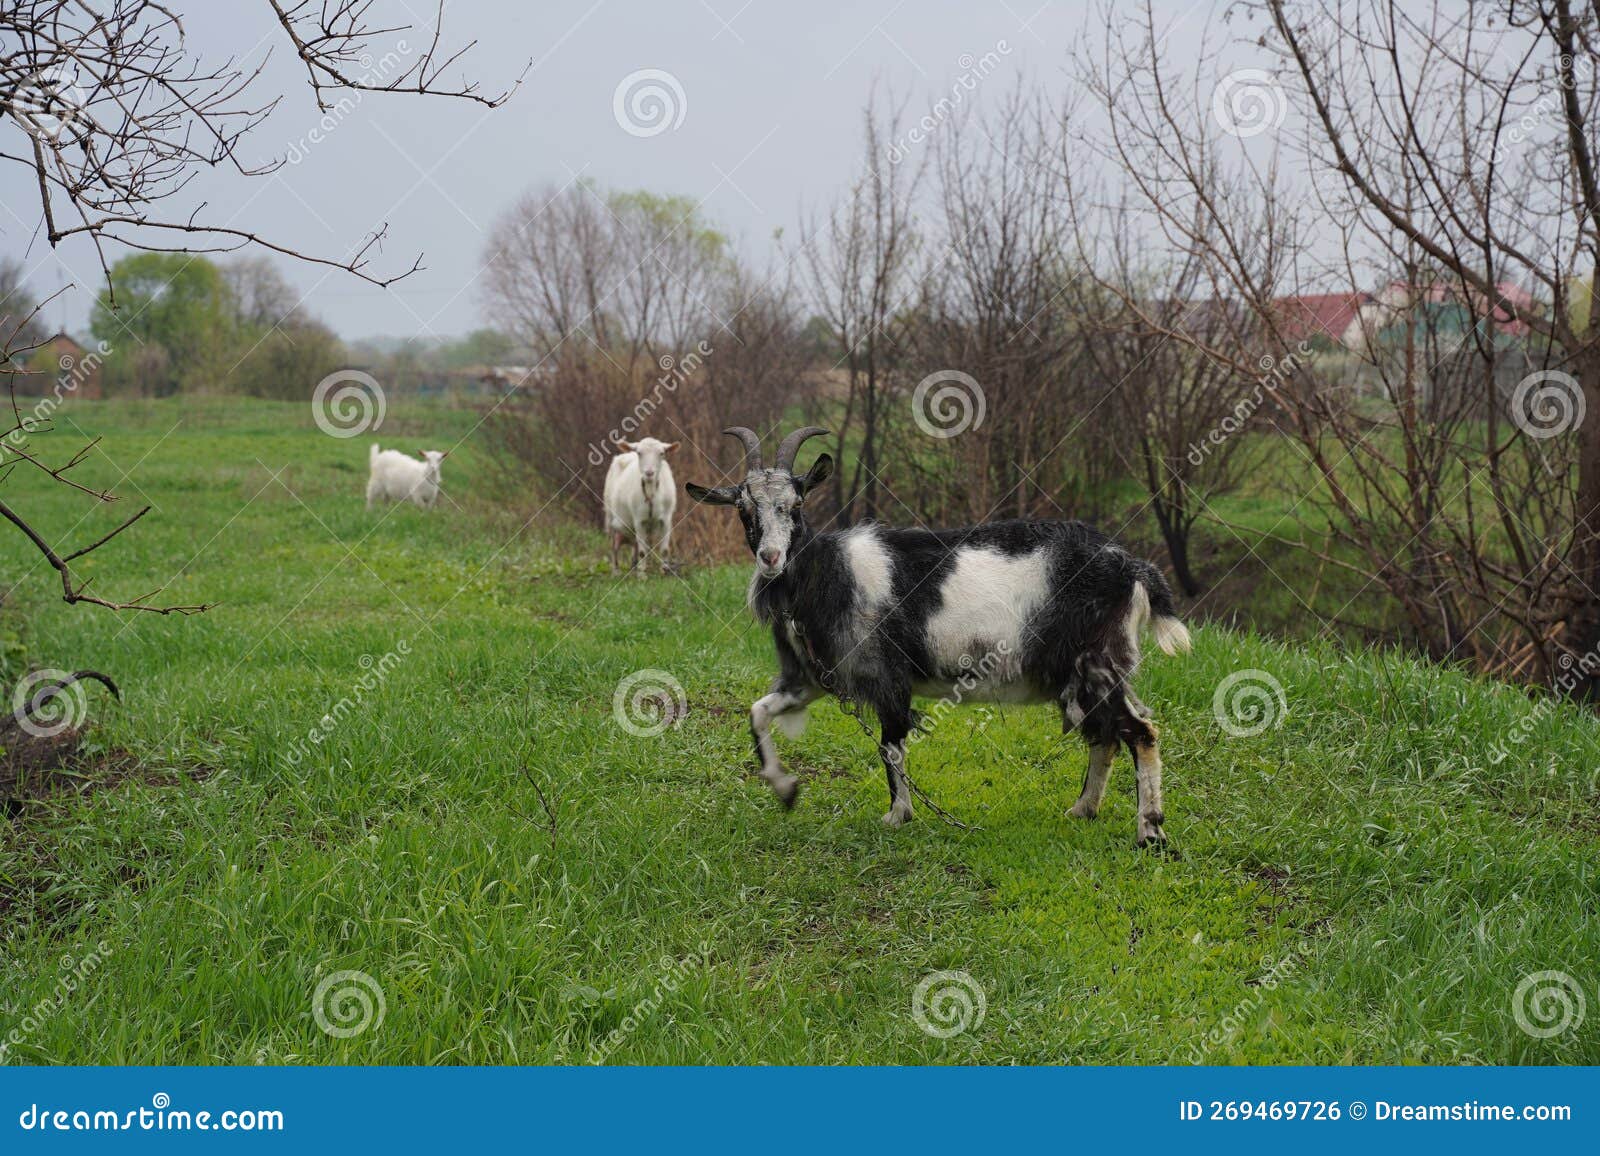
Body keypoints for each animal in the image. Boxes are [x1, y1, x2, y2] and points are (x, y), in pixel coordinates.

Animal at [604, 438, 680, 576]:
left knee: (635, 544)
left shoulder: (666, 519)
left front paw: (664, 572)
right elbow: (642, 552)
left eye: (661, 453)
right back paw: (616, 571)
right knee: (614, 546)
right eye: (639, 453)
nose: (649, 473)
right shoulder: (639, 520)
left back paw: (633, 567)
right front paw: (642, 576)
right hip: (610, 516)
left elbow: (664, 549)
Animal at [687, 426, 1192, 847]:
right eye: (743, 510)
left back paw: (1150, 833)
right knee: (1106, 736)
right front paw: (786, 789)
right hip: (1081, 673)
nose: (772, 557)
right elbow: (757, 713)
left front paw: (898, 815)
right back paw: (1083, 809)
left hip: (1098, 663)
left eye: (796, 505)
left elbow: (890, 745)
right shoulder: (814, 678)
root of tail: (1132, 567)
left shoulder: (888, 677)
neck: (828, 575)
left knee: (1141, 732)